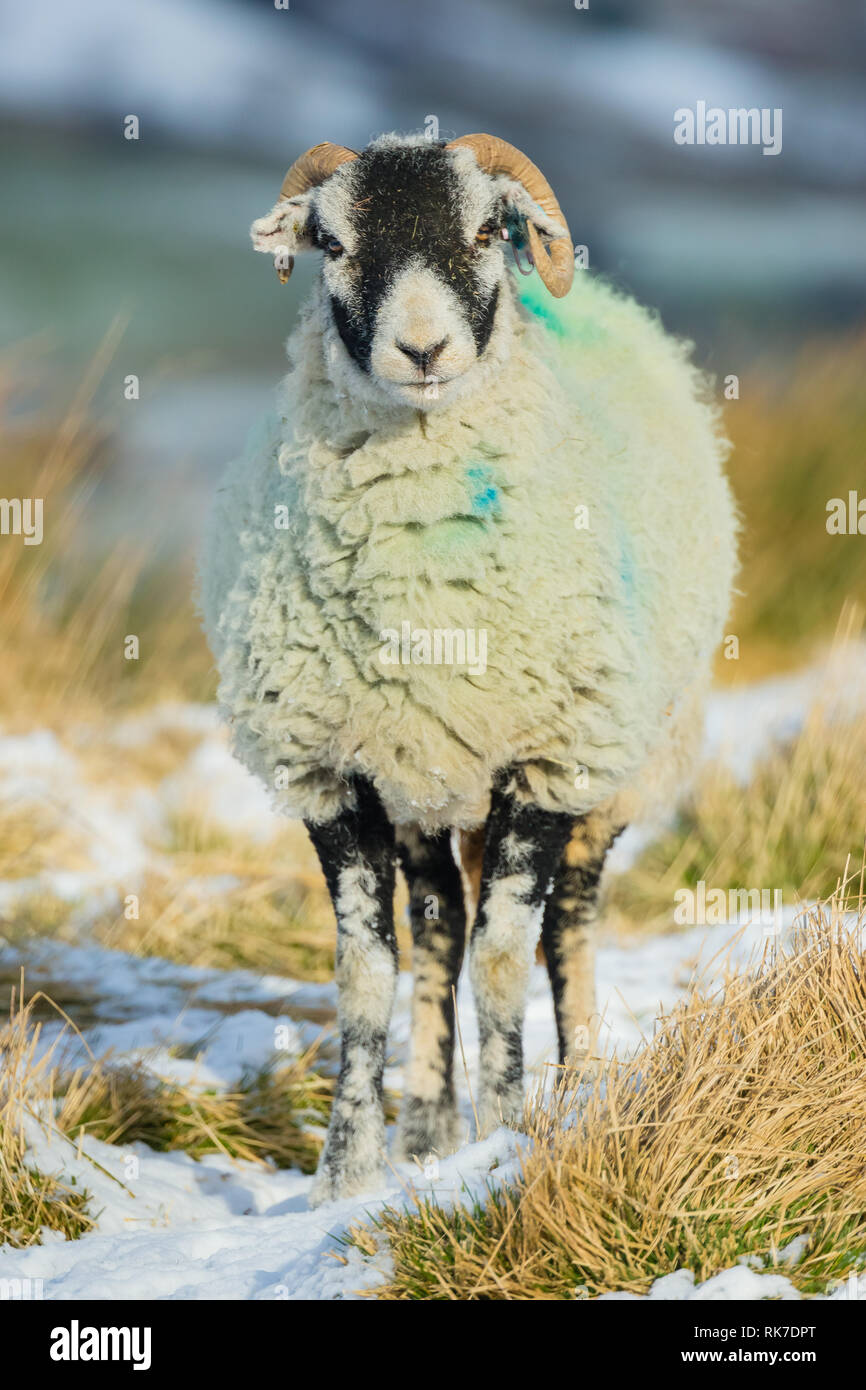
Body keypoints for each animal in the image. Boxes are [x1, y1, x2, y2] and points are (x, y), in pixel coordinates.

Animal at [200, 132, 737, 1205]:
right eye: (333, 242)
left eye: (489, 230)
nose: (422, 352)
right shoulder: (333, 771)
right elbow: (370, 971)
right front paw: (349, 1173)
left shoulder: (548, 763)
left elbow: (503, 958)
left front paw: (505, 1139)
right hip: (423, 782)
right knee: (440, 922)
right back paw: (424, 1128)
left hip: (618, 769)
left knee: (566, 927)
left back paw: (575, 1085)